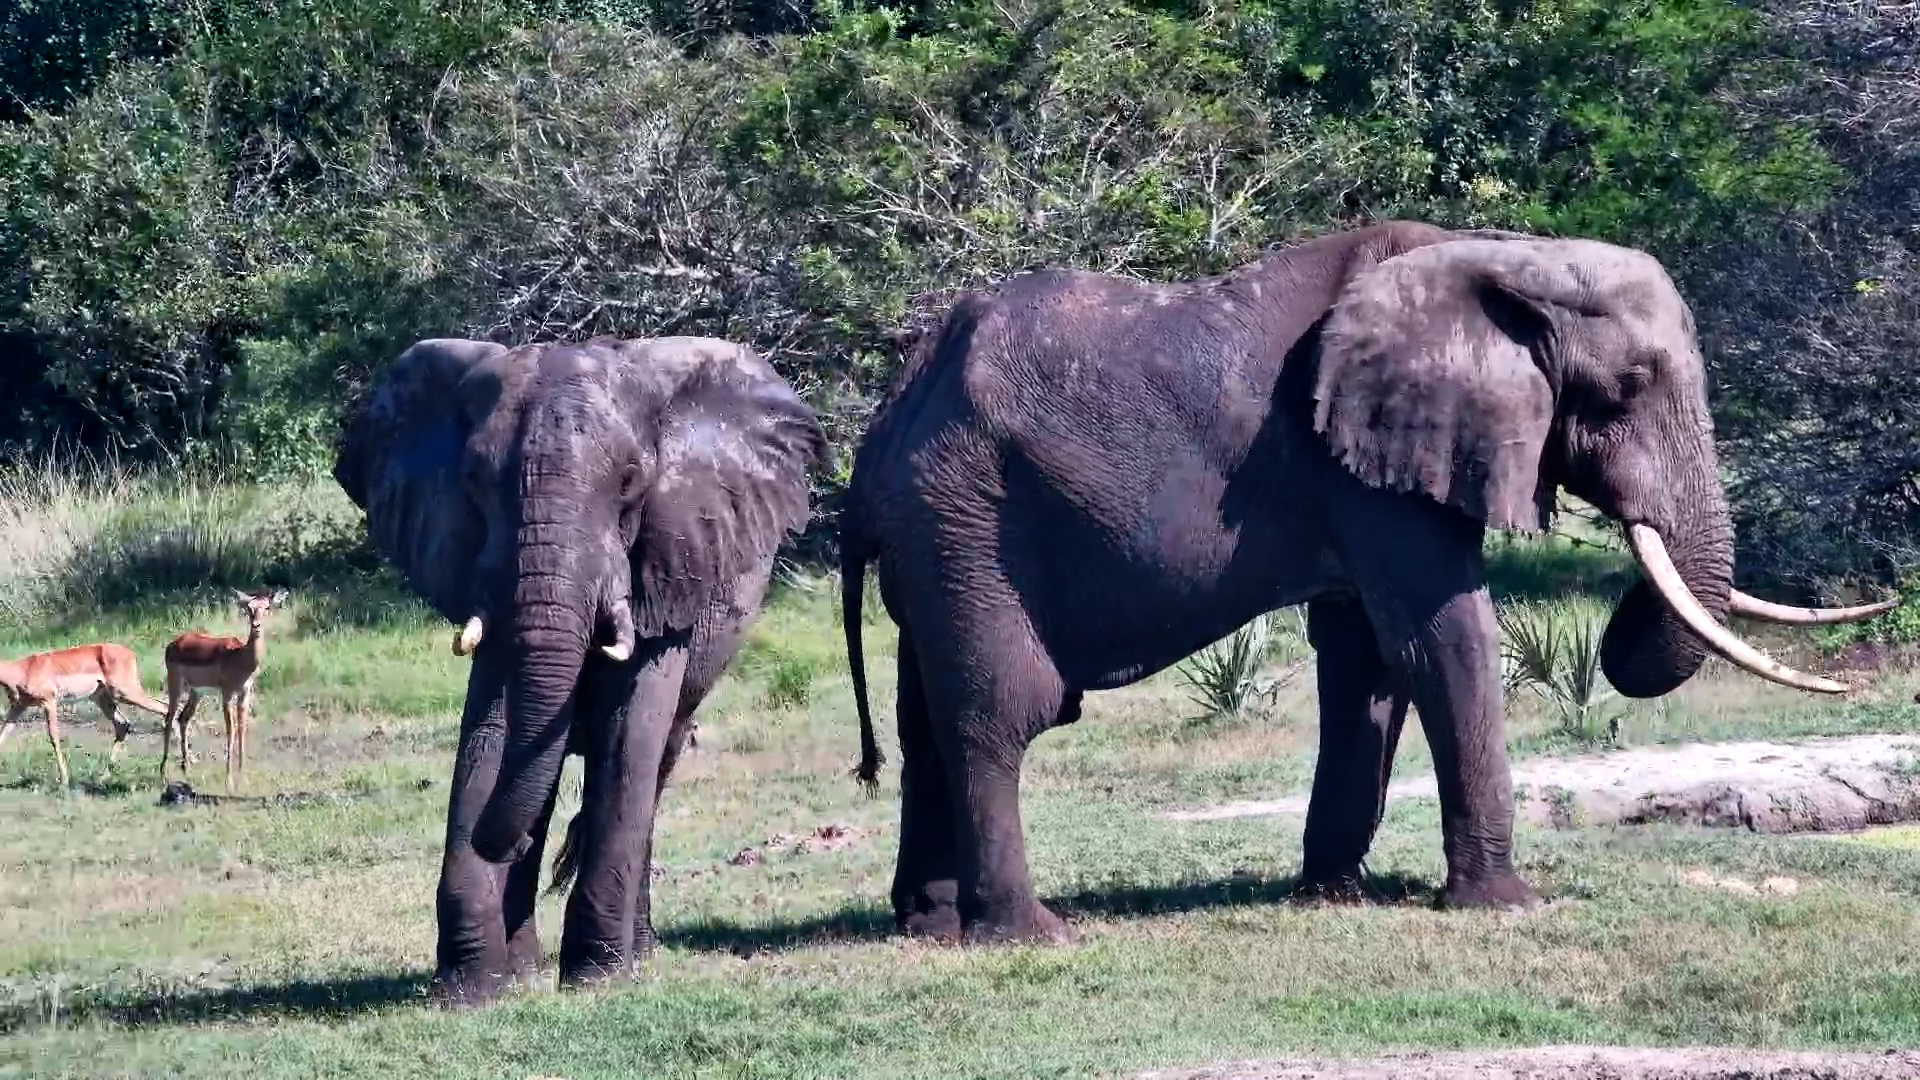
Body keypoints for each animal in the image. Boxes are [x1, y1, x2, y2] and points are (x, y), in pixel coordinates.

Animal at [334, 334, 824, 1003]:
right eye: (474, 480)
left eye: (631, 482)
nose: (510, 846)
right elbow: (488, 734)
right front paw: (472, 990)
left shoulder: (664, 566)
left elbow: (629, 733)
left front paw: (596, 979)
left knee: (653, 768)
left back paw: (636, 954)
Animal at [837, 220, 1896, 945]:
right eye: (1625, 389)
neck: (1510, 260)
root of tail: (882, 423)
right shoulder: (1368, 469)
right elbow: (1441, 636)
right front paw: (1506, 906)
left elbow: (1367, 659)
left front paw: (1334, 894)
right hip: (963, 514)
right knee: (1000, 712)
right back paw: (1030, 934)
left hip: (935, 538)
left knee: (925, 718)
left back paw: (929, 924)